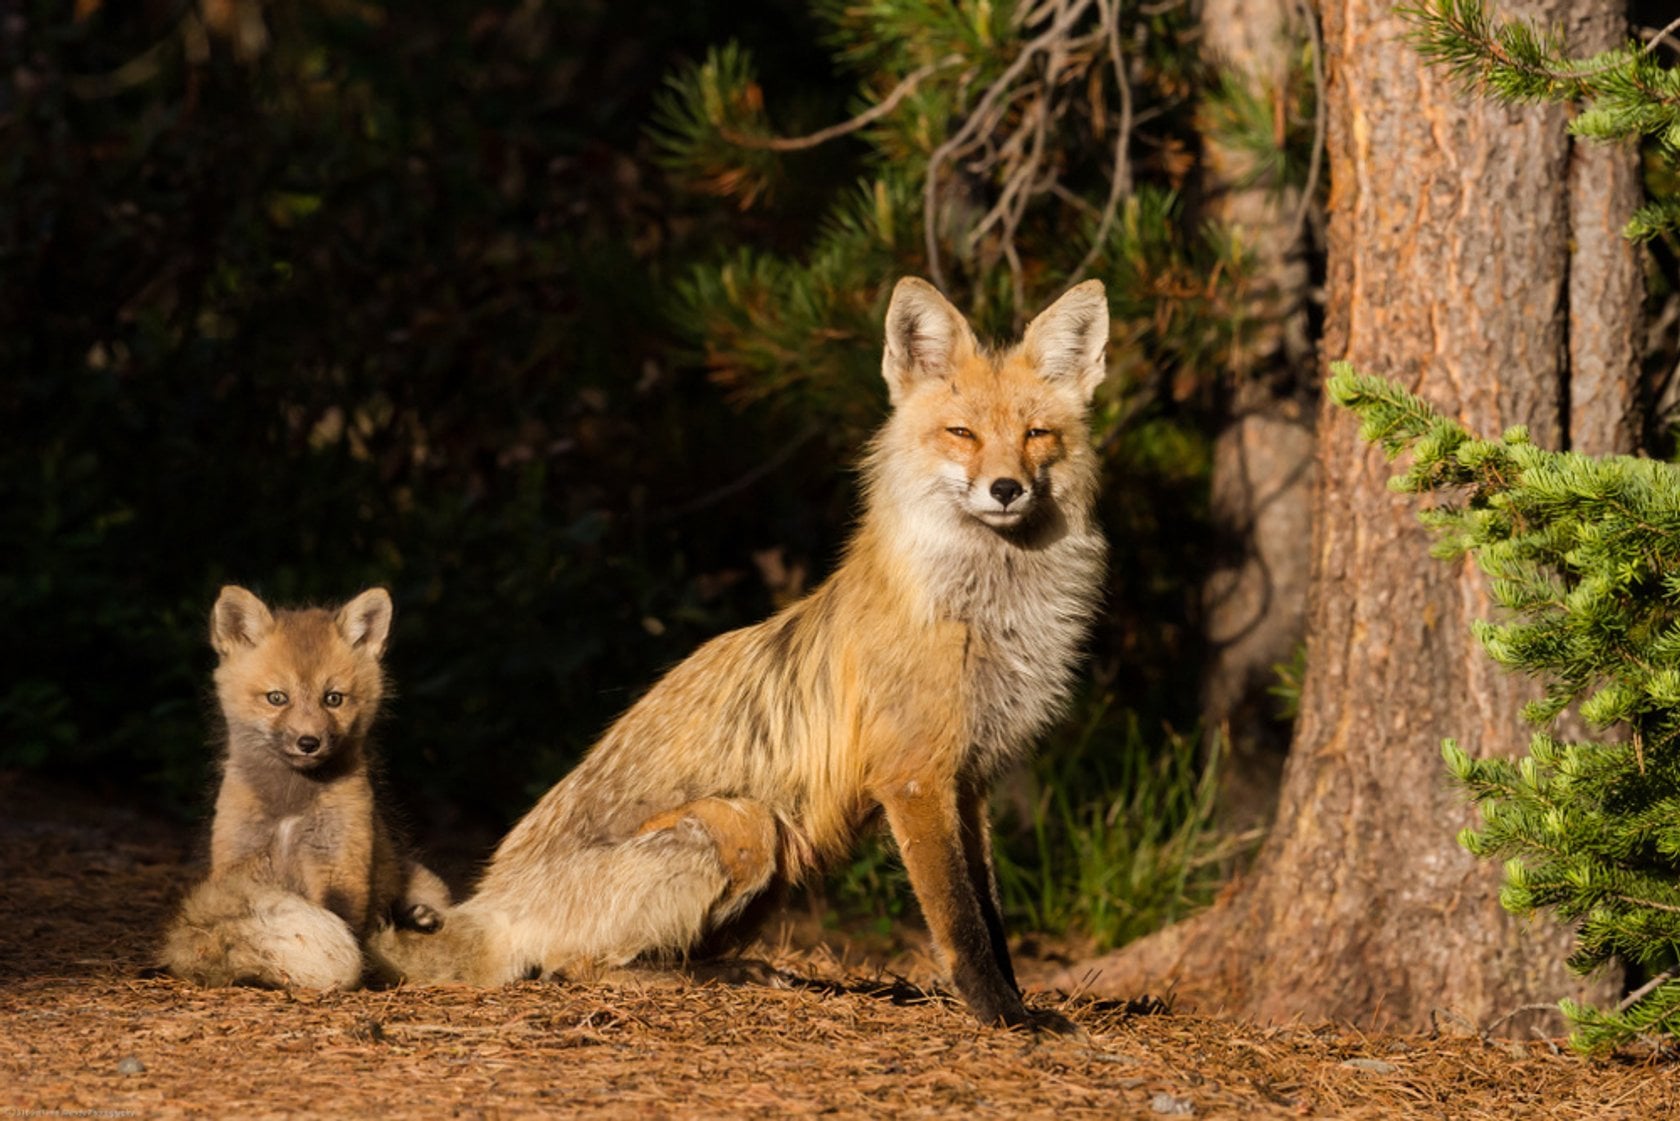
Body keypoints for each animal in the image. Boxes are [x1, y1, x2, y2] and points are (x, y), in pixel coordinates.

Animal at [162, 585, 452, 989]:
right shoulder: (240, 862)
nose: (308, 742)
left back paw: (416, 918)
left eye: (333, 698)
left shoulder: (339, 862)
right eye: (277, 698)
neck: (290, 809)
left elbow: (344, 924)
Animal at [373, 277, 1109, 1032]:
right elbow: (961, 919)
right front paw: (1004, 1015)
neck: (989, 613)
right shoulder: (916, 776)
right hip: (746, 824)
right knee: (576, 966)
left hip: (784, 857)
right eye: (962, 433)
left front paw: (1016, 999)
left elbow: (992, 914)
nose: (1006, 489)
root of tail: (488, 902)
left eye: (1036, 435)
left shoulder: (970, 778)